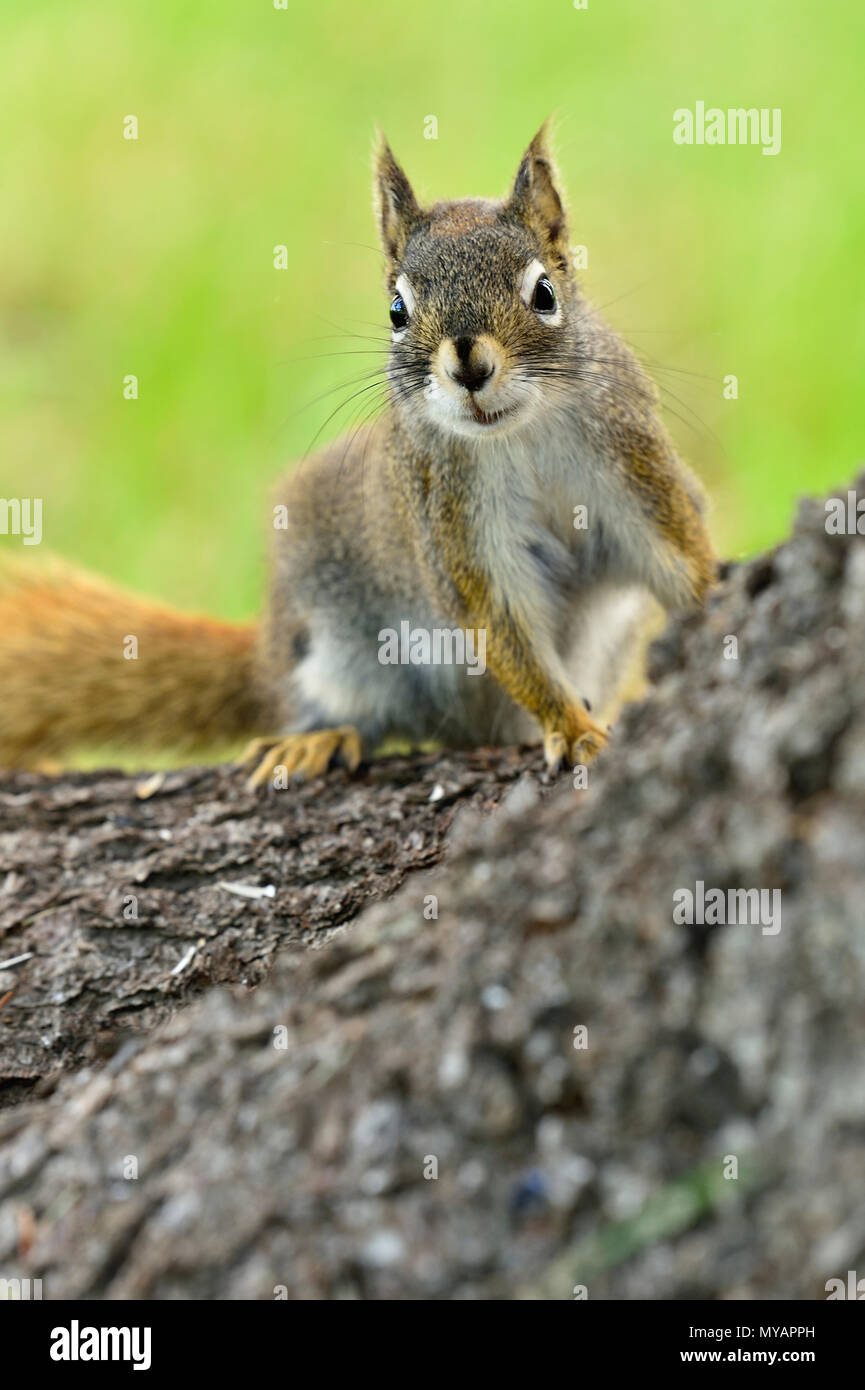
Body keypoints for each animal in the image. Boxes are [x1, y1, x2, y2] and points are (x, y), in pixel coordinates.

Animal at [0, 124, 715, 787]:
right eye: (397, 308)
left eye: (545, 294)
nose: (469, 364)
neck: (519, 434)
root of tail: (265, 654)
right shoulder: (451, 518)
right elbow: (502, 623)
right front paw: (572, 727)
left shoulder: (631, 467)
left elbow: (677, 554)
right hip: (328, 647)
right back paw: (317, 737)